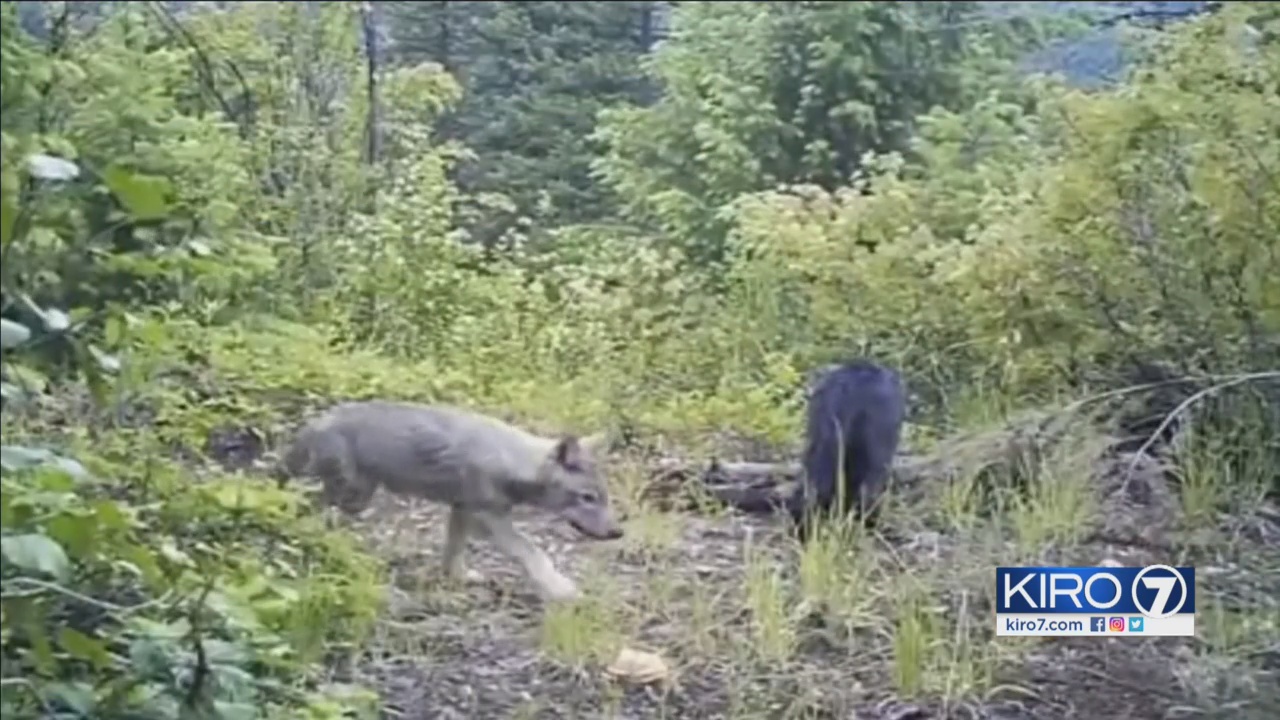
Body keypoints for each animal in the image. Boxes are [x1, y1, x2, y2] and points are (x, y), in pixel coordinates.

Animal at [276, 400, 623, 603]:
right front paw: (561, 589)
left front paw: (457, 579)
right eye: (587, 498)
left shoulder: (462, 511)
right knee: (310, 503)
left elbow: (454, 551)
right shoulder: (489, 518)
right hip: (351, 495)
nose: (617, 533)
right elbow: (532, 550)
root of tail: (314, 424)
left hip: (357, 496)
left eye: (605, 498)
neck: (512, 460)